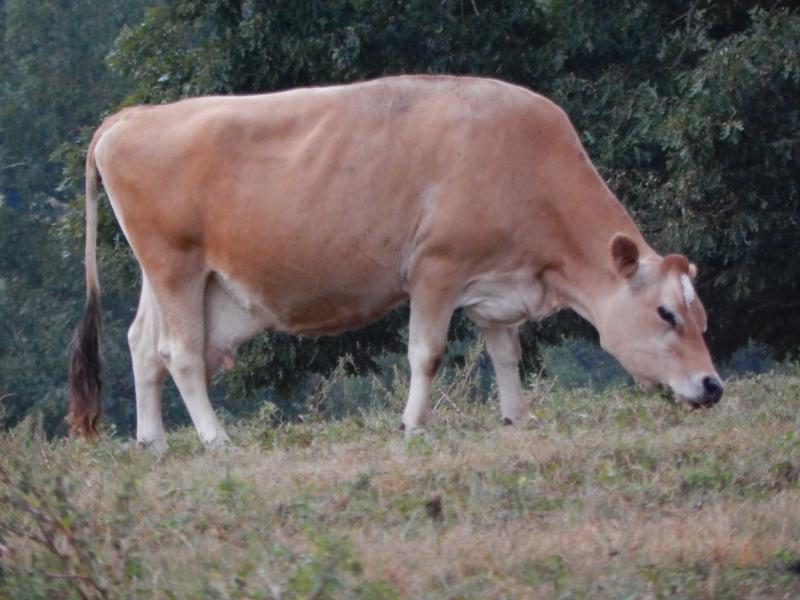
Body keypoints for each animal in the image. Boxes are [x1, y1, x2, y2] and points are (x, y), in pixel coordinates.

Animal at [69, 75, 722, 452]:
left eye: (702, 318)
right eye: (666, 313)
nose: (712, 384)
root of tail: (133, 115)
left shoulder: (497, 284)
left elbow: (505, 354)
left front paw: (517, 418)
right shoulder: (437, 268)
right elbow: (425, 354)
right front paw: (411, 425)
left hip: (175, 276)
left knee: (141, 343)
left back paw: (152, 440)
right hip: (174, 264)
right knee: (179, 353)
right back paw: (214, 436)